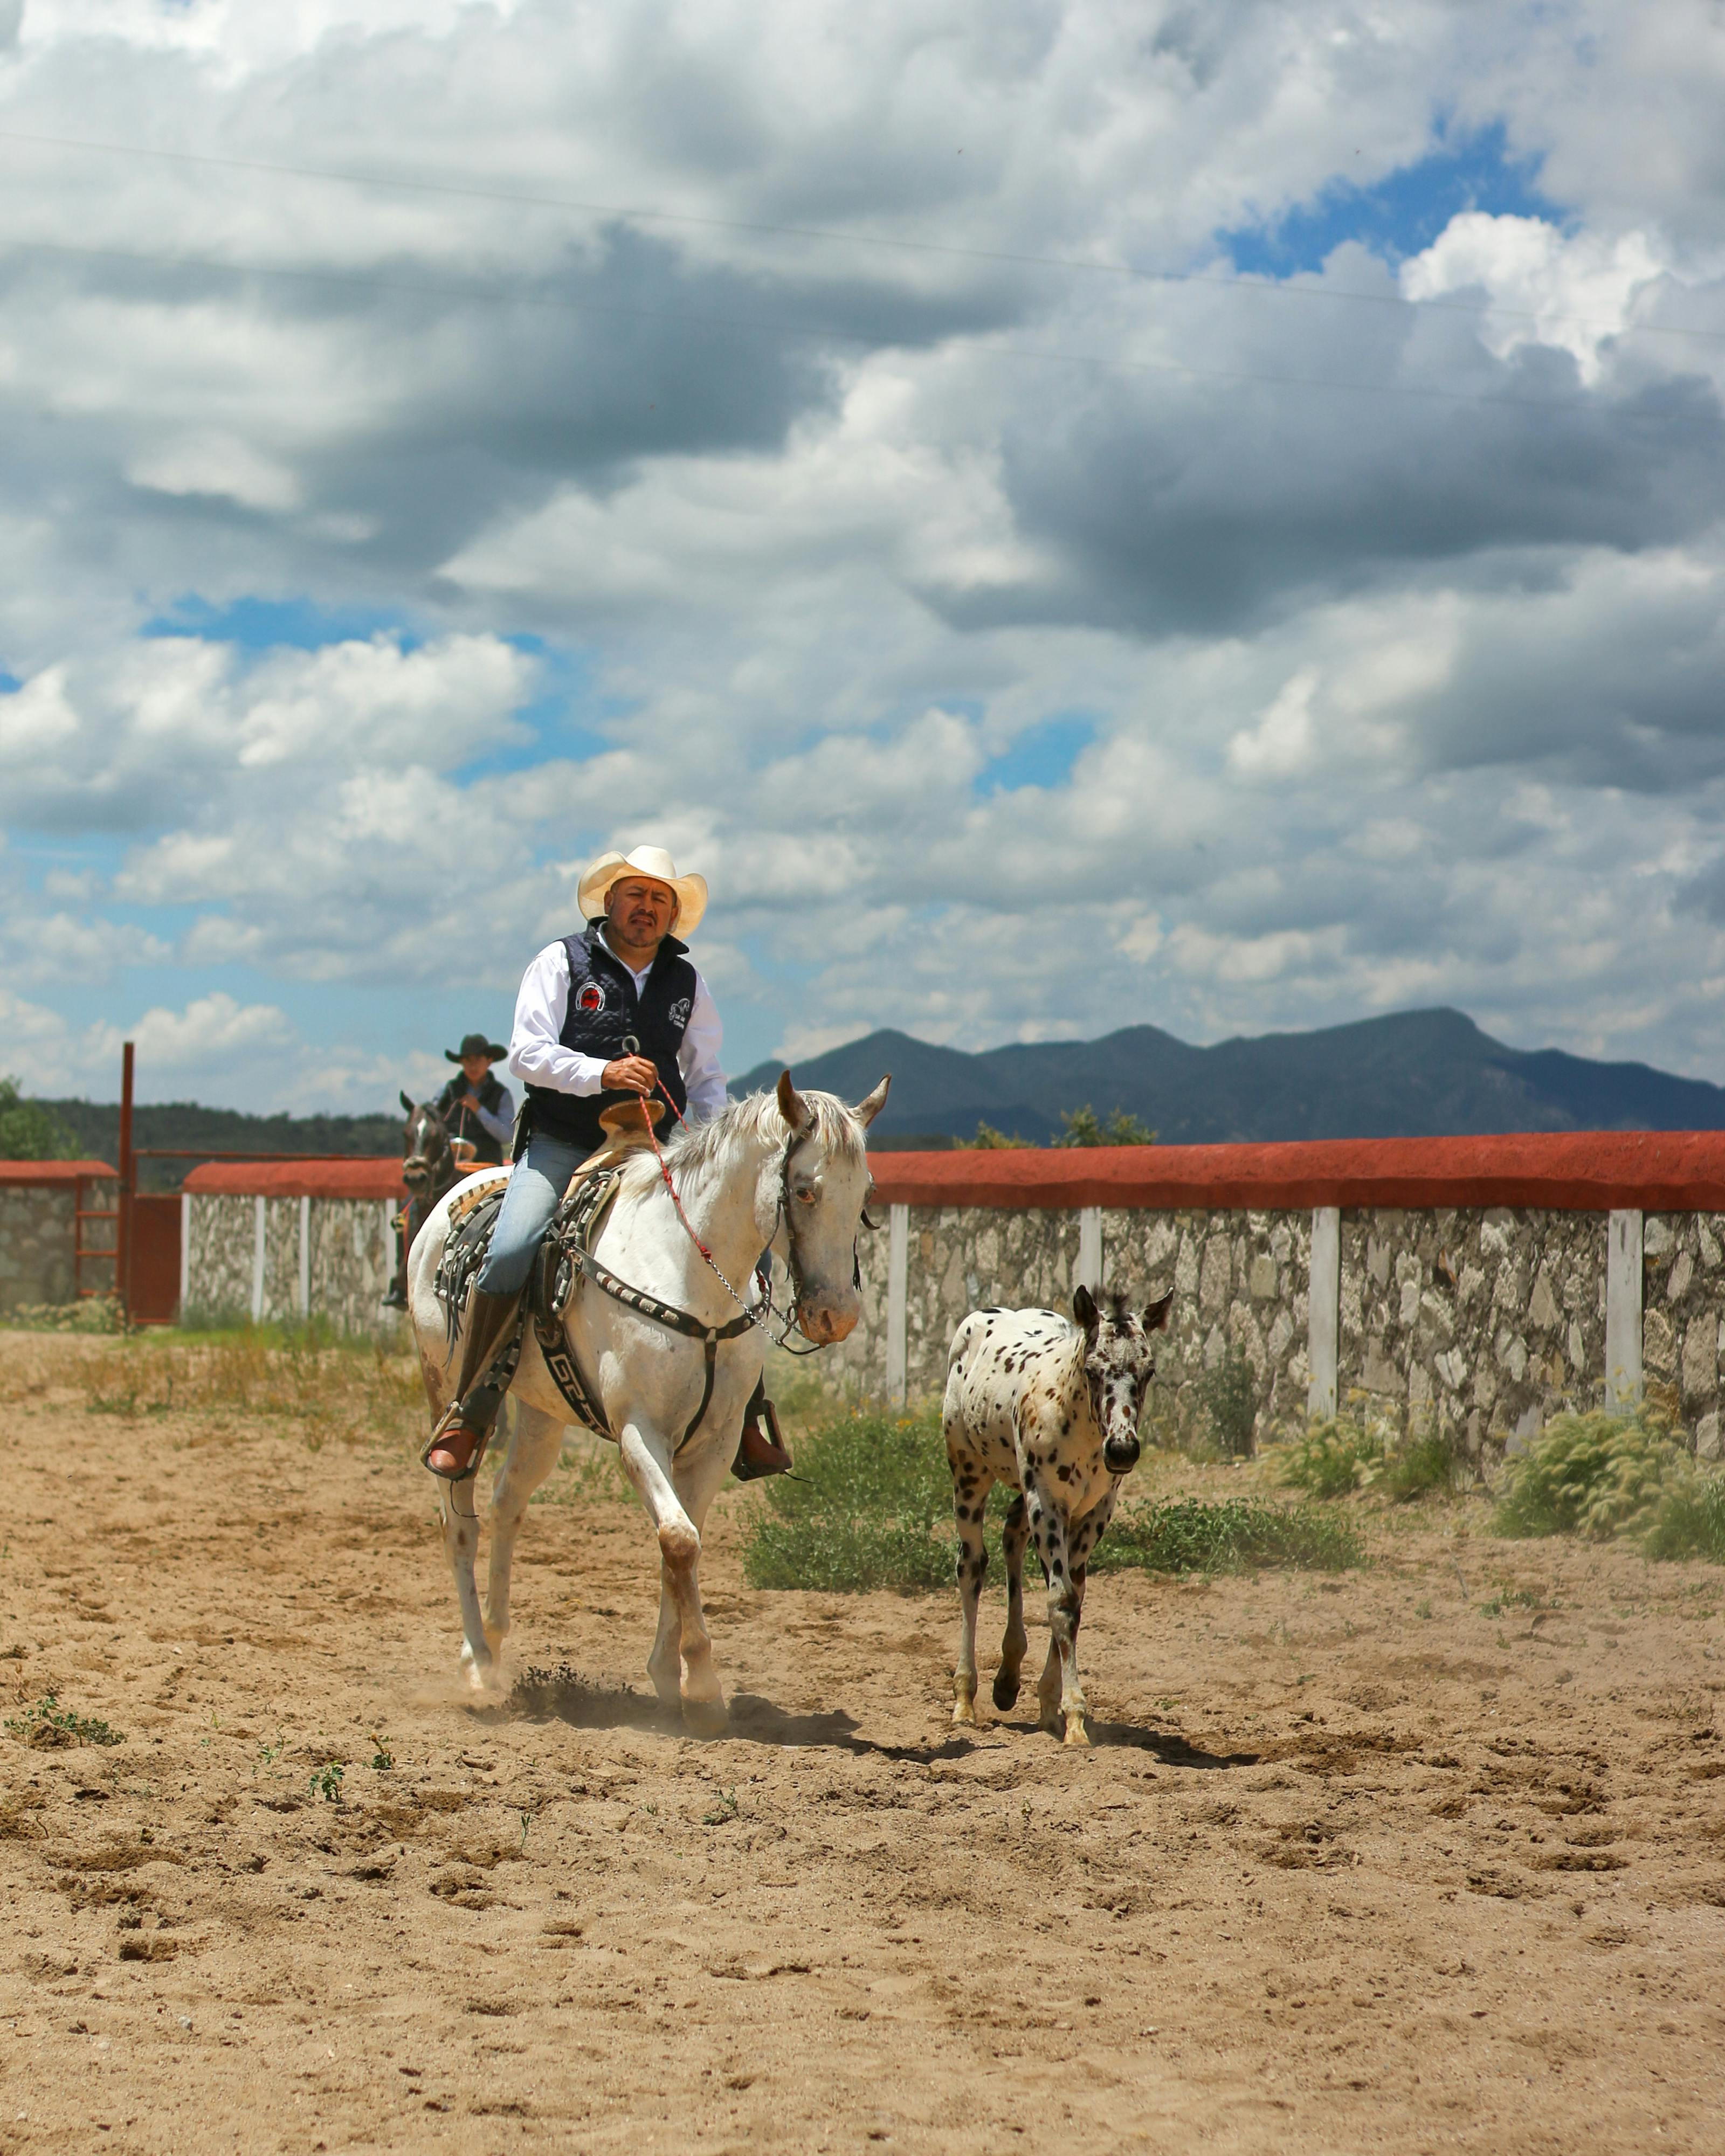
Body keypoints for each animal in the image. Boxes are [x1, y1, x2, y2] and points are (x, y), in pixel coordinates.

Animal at [406, 1069, 889, 1732]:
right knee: (459, 1522)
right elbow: (679, 1539)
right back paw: (476, 1661)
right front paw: (702, 1687)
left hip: (541, 1414)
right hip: (444, 1388)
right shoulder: (639, 1432)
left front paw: (671, 1676)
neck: (687, 1271)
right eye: (805, 1190)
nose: (835, 1316)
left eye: (865, 1192)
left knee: (507, 1505)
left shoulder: (714, 1442)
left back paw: (499, 1643)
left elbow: (683, 1541)